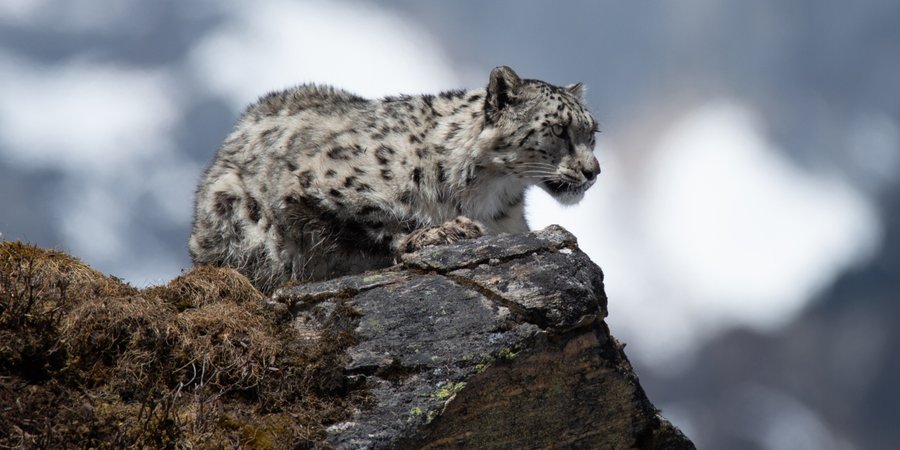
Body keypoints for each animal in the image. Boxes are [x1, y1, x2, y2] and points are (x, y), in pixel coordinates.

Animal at [189, 66, 601, 294]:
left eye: (592, 132)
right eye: (559, 128)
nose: (593, 171)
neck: (492, 196)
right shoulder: (318, 180)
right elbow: (379, 219)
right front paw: (445, 230)